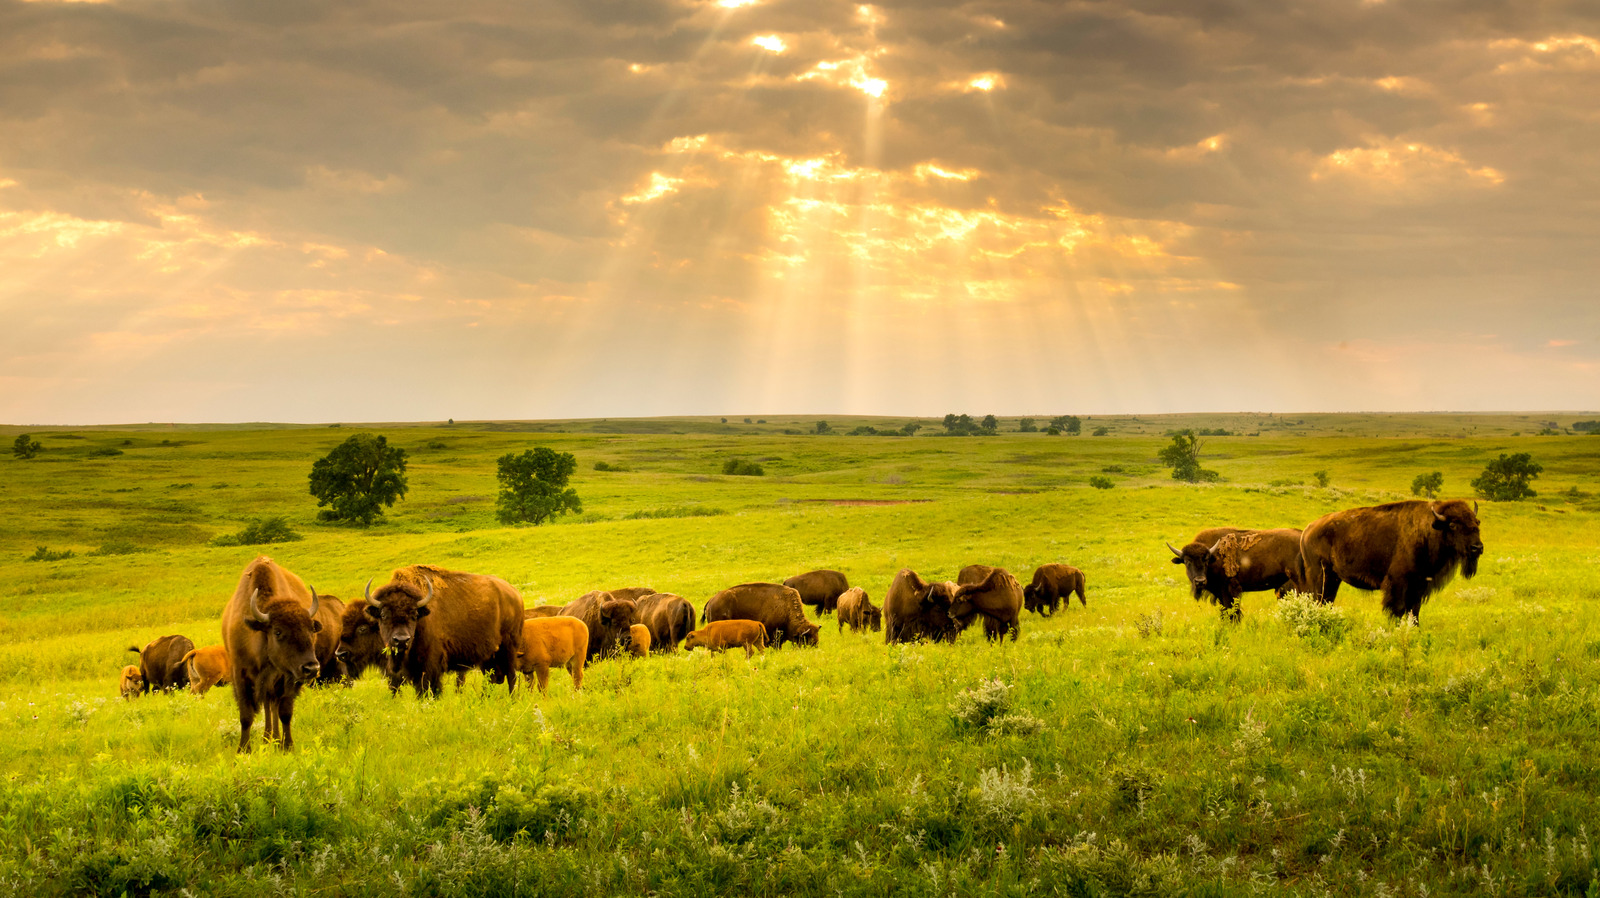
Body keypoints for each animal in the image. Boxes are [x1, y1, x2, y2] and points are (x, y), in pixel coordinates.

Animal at [221, 556, 325, 752]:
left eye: (311, 630)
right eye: (277, 632)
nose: (312, 668)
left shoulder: (288, 678)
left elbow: (285, 712)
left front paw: (287, 746)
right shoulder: (240, 673)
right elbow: (246, 716)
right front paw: (243, 750)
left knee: (273, 706)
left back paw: (273, 739)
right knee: (269, 706)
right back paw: (267, 738)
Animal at [364, 565, 525, 697]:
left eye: (414, 614)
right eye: (384, 615)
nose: (401, 640)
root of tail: (515, 594)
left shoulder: (430, 666)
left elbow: (430, 690)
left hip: (509, 647)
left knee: (511, 676)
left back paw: (512, 700)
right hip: (488, 656)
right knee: (490, 679)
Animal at [1301, 499, 1483, 623]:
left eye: (1476, 523)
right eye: (1453, 525)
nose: (1477, 547)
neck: (1430, 529)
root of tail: (1307, 530)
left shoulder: (1419, 585)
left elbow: (1413, 611)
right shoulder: (1398, 583)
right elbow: (1398, 609)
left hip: (1333, 579)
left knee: (1327, 600)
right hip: (1320, 576)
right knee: (1318, 599)